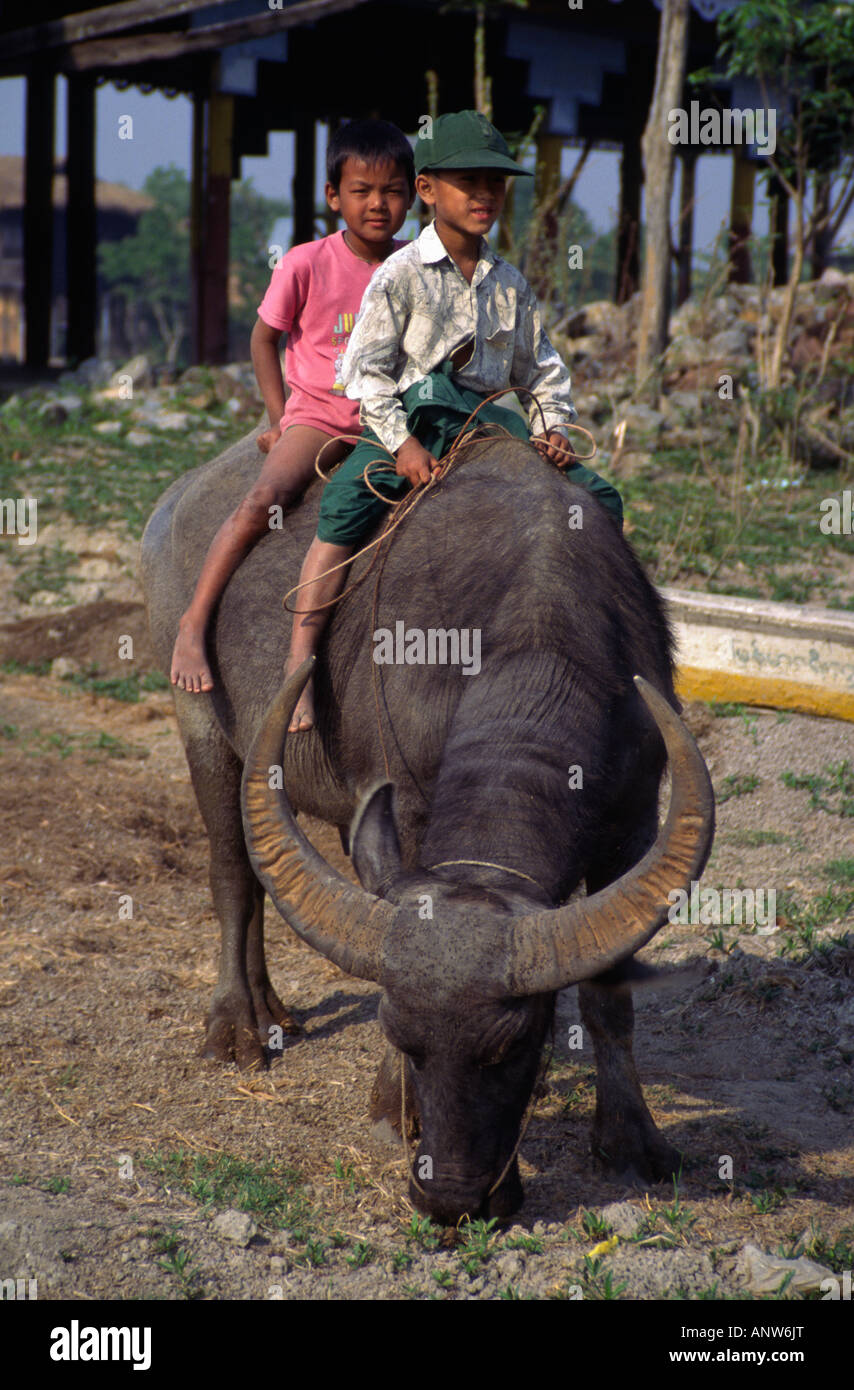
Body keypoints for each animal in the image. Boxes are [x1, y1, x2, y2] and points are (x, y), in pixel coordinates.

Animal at [141, 426, 714, 1224]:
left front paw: (633, 1141)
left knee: (261, 870)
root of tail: (177, 497)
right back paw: (237, 1028)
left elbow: (609, 995)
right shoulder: (407, 807)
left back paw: (273, 1008)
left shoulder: (635, 818)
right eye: (401, 1036)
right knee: (232, 876)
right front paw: (392, 1107)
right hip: (199, 719)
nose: (449, 1197)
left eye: (513, 1046)